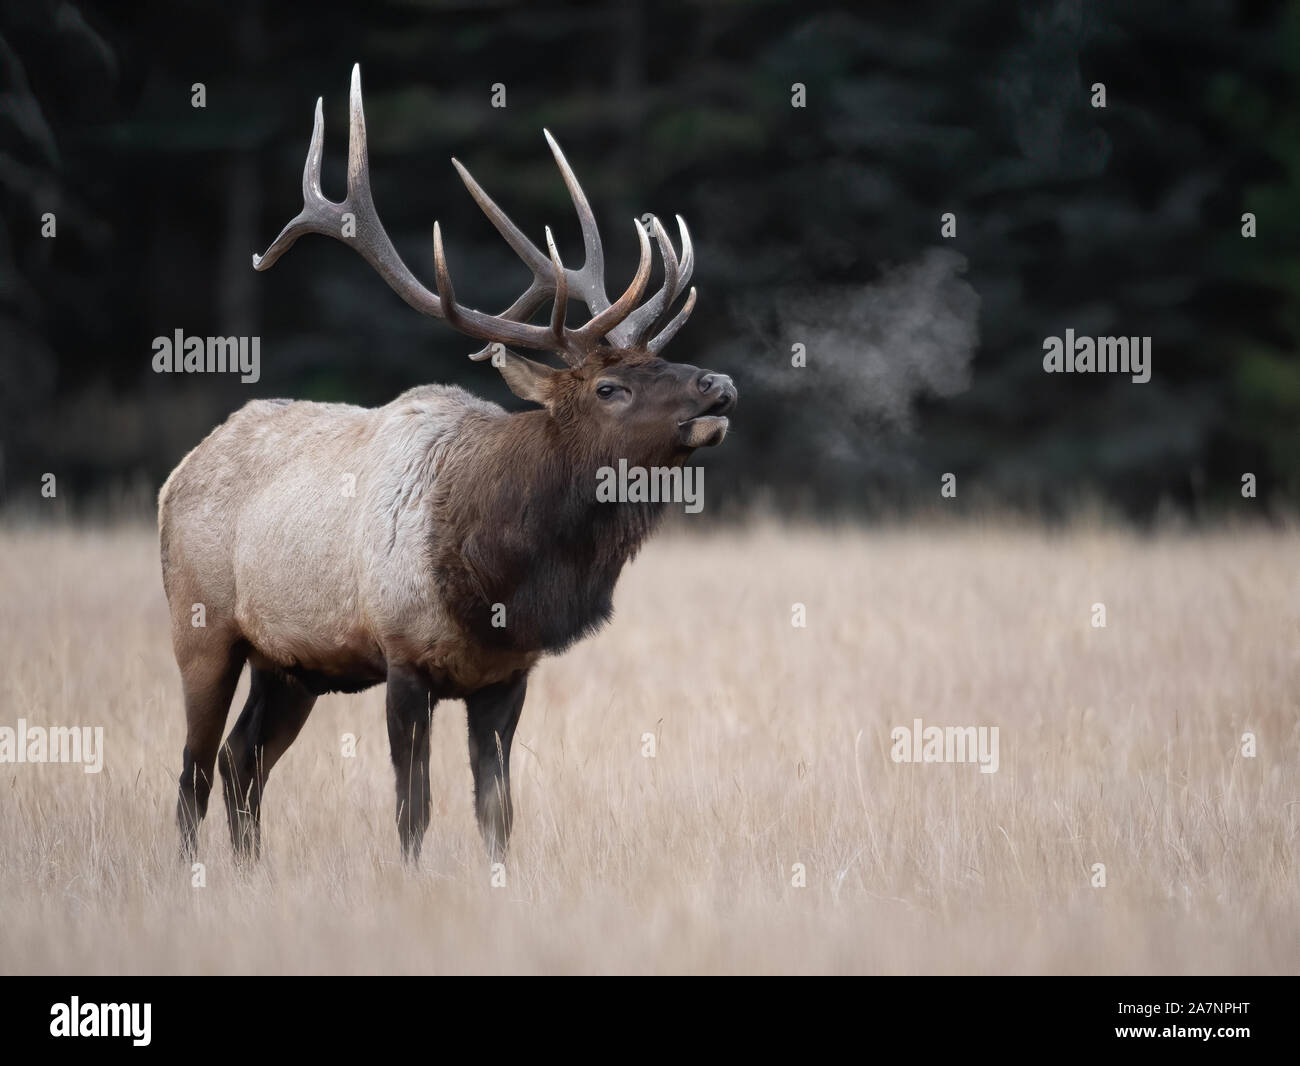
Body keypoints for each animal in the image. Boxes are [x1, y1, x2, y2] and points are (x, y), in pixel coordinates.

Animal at [159, 65, 736, 864]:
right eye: (609, 387)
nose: (720, 384)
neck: (496, 579)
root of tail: (178, 472)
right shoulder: (403, 658)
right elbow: (415, 808)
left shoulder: (507, 676)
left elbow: (498, 810)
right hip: (202, 625)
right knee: (193, 768)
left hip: (293, 662)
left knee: (241, 757)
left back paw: (250, 871)